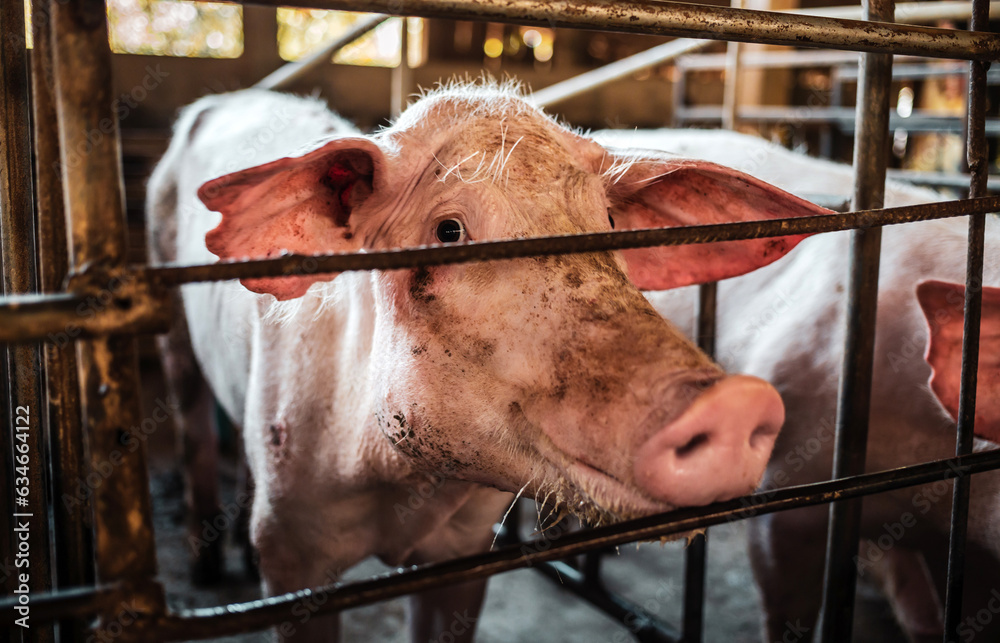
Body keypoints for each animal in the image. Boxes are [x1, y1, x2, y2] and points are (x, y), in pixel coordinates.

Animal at [145, 84, 831, 642]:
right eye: (449, 231)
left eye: (610, 222)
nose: (737, 401)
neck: (402, 486)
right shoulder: (291, 549)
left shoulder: (468, 547)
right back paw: (207, 566)